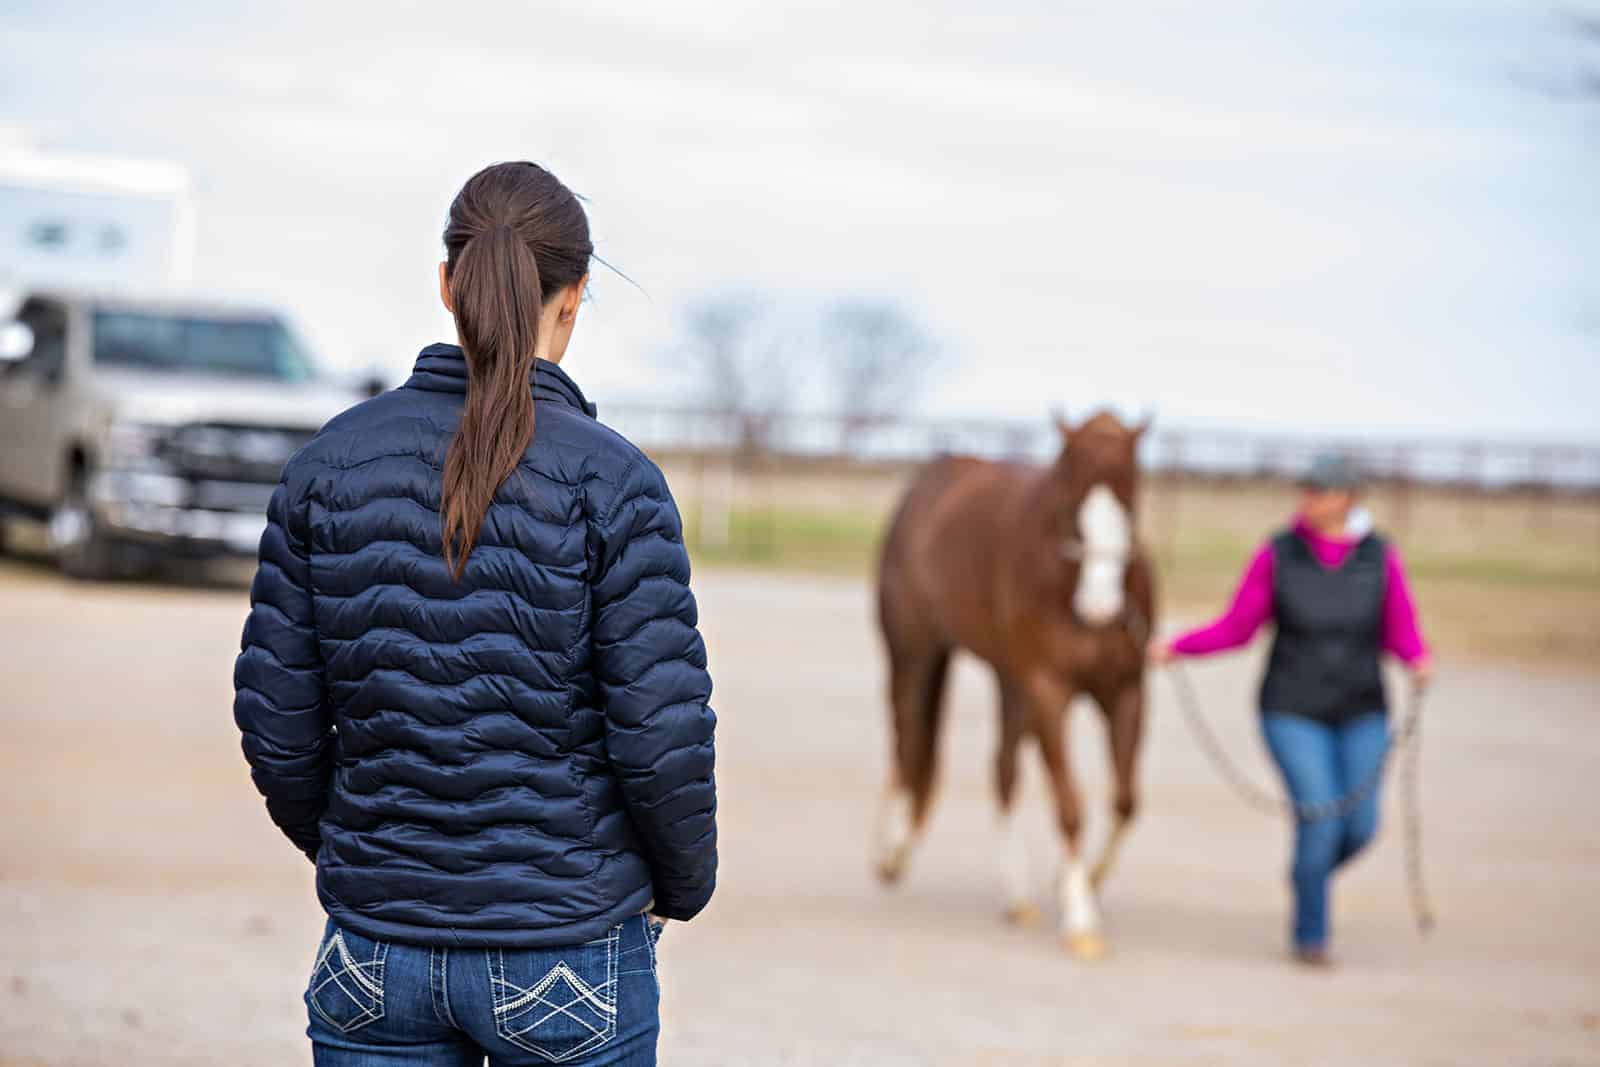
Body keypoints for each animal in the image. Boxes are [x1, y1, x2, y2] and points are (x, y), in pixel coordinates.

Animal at [872, 411, 1154, 959]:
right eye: (1070, 505)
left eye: (1130, 503)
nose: (1101, 607)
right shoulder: (1049, 691)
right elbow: (1069, 804)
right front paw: (1081, 919)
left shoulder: (1126, 691)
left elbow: (1125, 800)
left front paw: (1081, 881)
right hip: (914, 656)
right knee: (906, 740)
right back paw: (891, 854)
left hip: (1009, 681)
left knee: (1001, 770)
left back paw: (1017, 896)